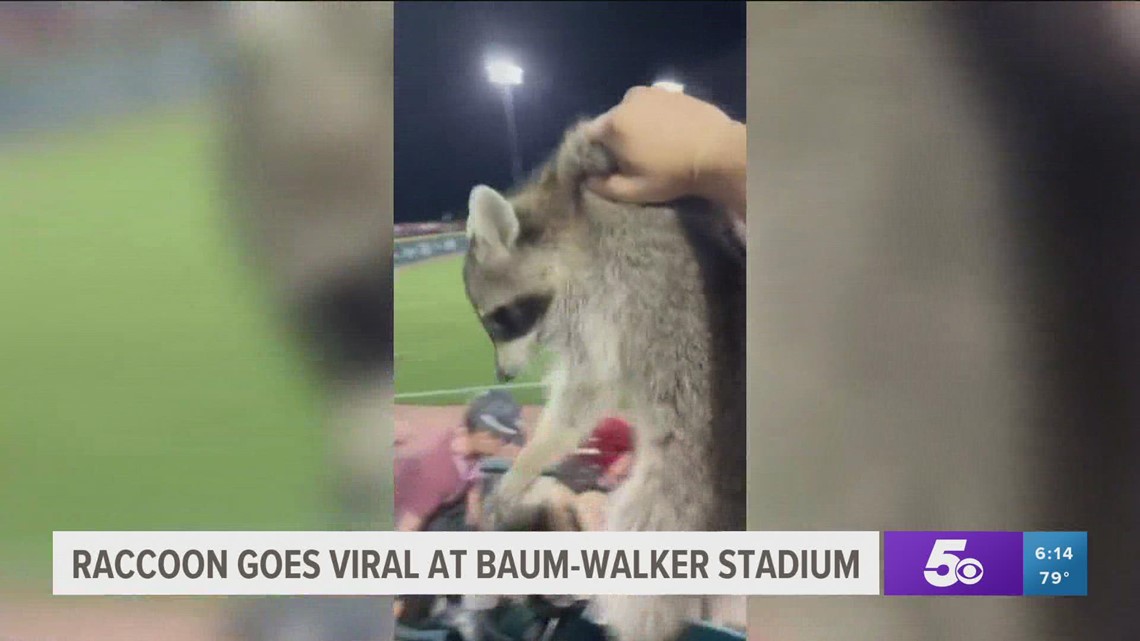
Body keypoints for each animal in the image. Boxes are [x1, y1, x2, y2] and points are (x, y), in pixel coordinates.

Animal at [462, 121, 746, 641]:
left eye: (499, 320)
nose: (503, 375)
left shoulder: (601, 298)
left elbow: (587, 390)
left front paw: (529, 460)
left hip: (683, 490)